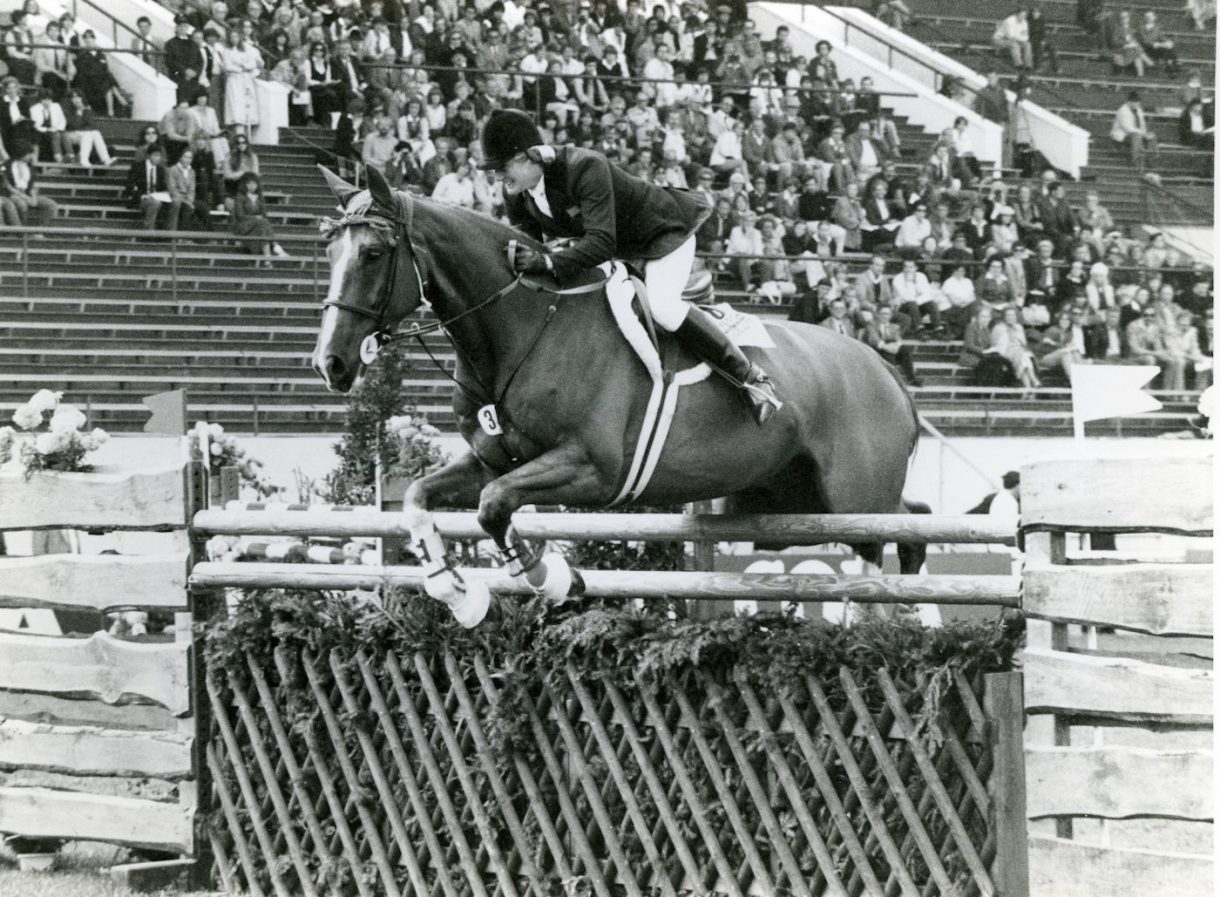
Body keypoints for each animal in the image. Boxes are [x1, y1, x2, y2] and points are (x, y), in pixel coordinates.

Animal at [312, 165, 928, 626]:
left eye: (372, 253)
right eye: (329, 253)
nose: (329, 363)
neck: (525, 323)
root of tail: (882, 366)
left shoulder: (593, 469)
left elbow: (494, 507)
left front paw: (554, 580)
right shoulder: (493, 460)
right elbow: (422, 499)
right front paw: (460, 596)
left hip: (850, 498)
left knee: (895, 534)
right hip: (790, 500)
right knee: (912, 521)